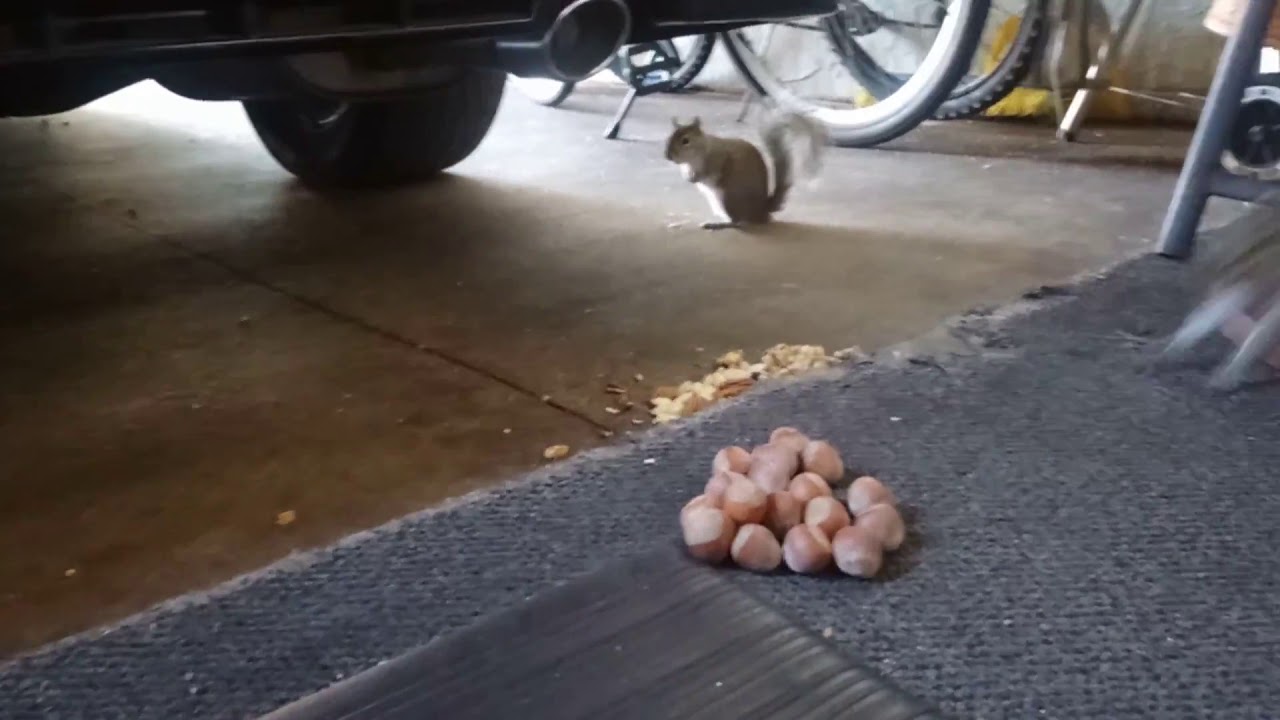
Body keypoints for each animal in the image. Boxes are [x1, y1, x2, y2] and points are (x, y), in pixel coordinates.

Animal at [663, 111, 827, 230]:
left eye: (686, 141)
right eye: (668, 138)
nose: (668, 156)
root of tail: (761, 211)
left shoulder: (717, 159)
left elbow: (711, 171)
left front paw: (695, 178)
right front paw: (687, 177)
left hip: (729, 198)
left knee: (736, 221)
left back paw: (718, 224)